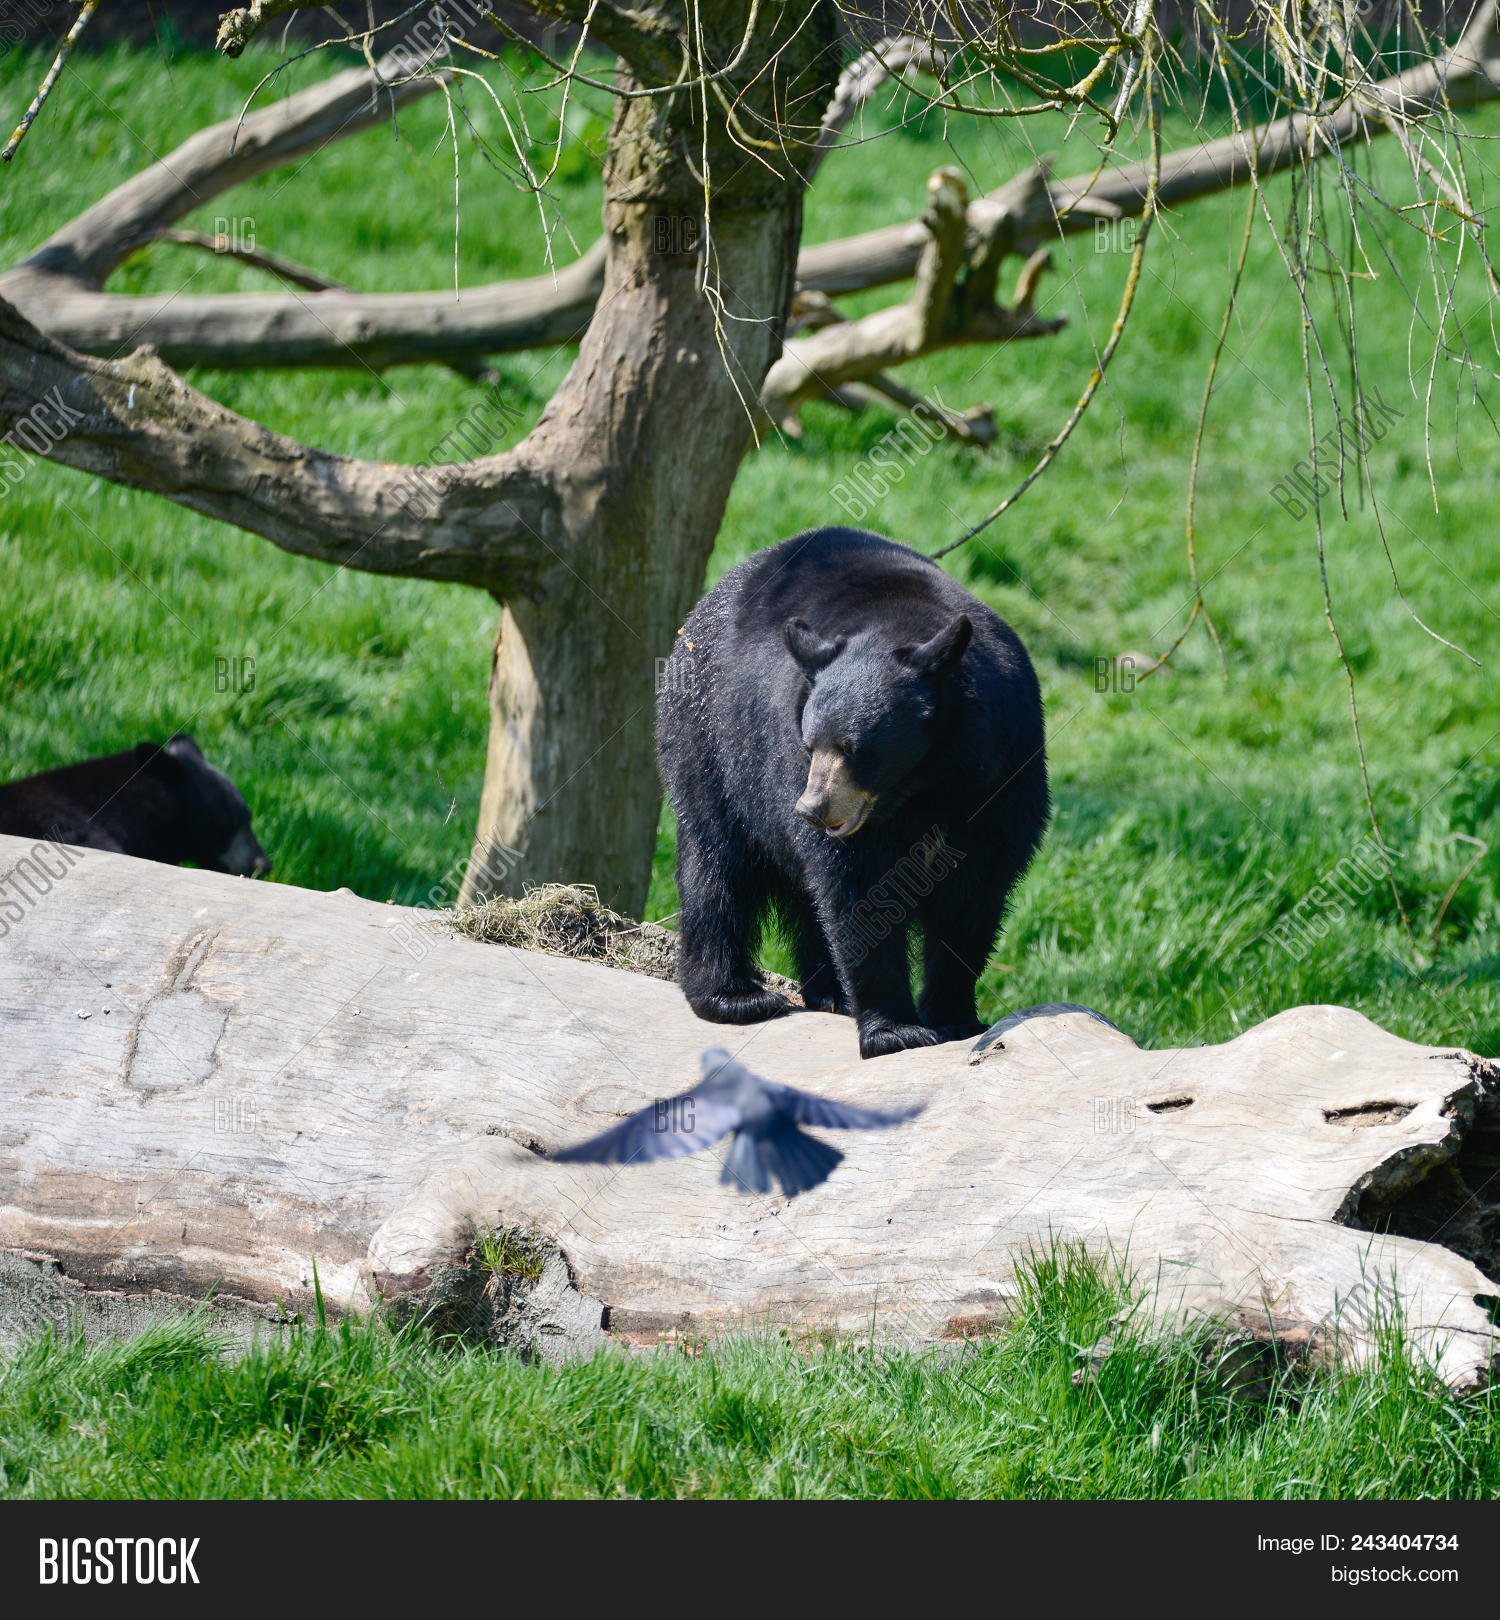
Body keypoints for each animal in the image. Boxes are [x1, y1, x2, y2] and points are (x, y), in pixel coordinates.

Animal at [656, 525, 1048, 1059]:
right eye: (809, 744)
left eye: (854, 748)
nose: (811, 809)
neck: (925, 786)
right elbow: (858, 890)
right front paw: (896, 1030)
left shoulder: (1002, 777)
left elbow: (974, 895)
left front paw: (957, 1018)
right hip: (710, 740)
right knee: (717, 865)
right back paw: (735, 996)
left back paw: (830, 992)